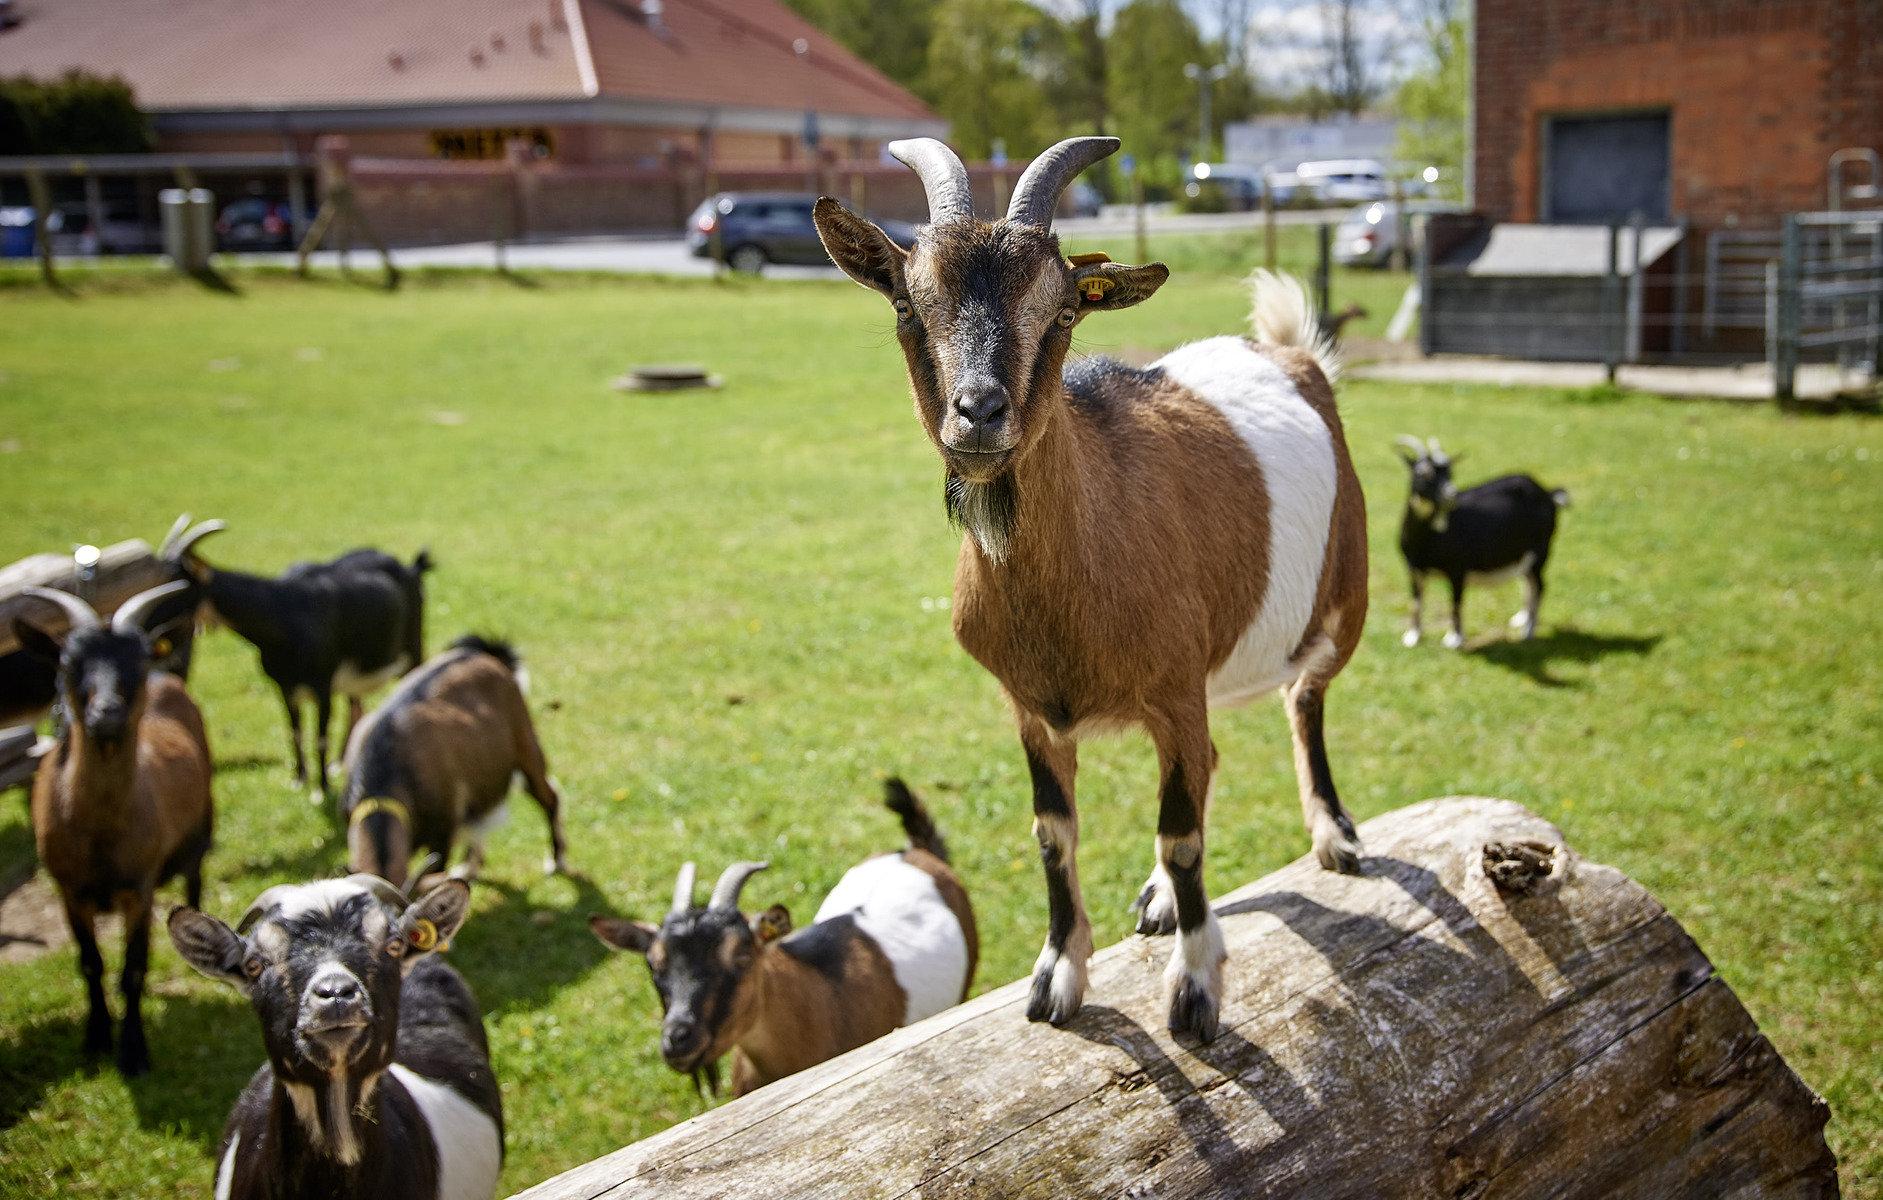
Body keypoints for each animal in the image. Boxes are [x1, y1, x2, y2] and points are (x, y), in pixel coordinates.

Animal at [12, 583, 214, 1076]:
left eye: (137, 661)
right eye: (67, 661)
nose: (108, 713)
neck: (100, 833)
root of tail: (168, 679)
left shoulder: (137, 889)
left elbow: (135, 966)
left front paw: (134, 1050)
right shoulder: (69, 891)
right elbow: (91, 963)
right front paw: (97, 1037)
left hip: (201, 824)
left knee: (194, 876)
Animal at [177, 524, 430, 797]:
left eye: (176, 588)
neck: (285, 617)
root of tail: (411, 569)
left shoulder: (323, 685)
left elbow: (320, 737)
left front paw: (321, 789)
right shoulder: (283, 686)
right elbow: (295, 732)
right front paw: (300, 780)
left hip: (412, 649)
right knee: (356, 707)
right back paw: (342, 761)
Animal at [341, 634, 568, 890]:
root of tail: (482, 653)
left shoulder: (444, 831)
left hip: (525, 745)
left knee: (550, 796)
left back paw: (556, 860)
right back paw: (470, 867)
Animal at [812, 137, 1369, 1042]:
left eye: (1066, 310)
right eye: (905, 302)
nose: (977, 412)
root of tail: (1289, 352)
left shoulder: (1174, 690)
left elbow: (1181, 836)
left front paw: (1195, 989)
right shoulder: (1032, 708)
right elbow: (1054, 834)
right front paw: (1058, 976)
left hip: (1341, 602)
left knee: (1304, 700)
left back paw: (1333, 836)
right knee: (1214, 759)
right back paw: (1159, 901)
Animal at [1395, 436, 1570, 649]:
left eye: (1450, 472)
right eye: (1423, 473)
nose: (1450, 496)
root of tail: (1548, 494)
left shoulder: (1457, 569)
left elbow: (1456, 602)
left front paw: (1455, 639)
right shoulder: (1413, 569)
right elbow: (1416, 602)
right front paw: (1413, 636)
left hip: (1540, 551)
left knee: (1540, 586)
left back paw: (1528, 631)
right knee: (1528, 582)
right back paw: (1521, 618)